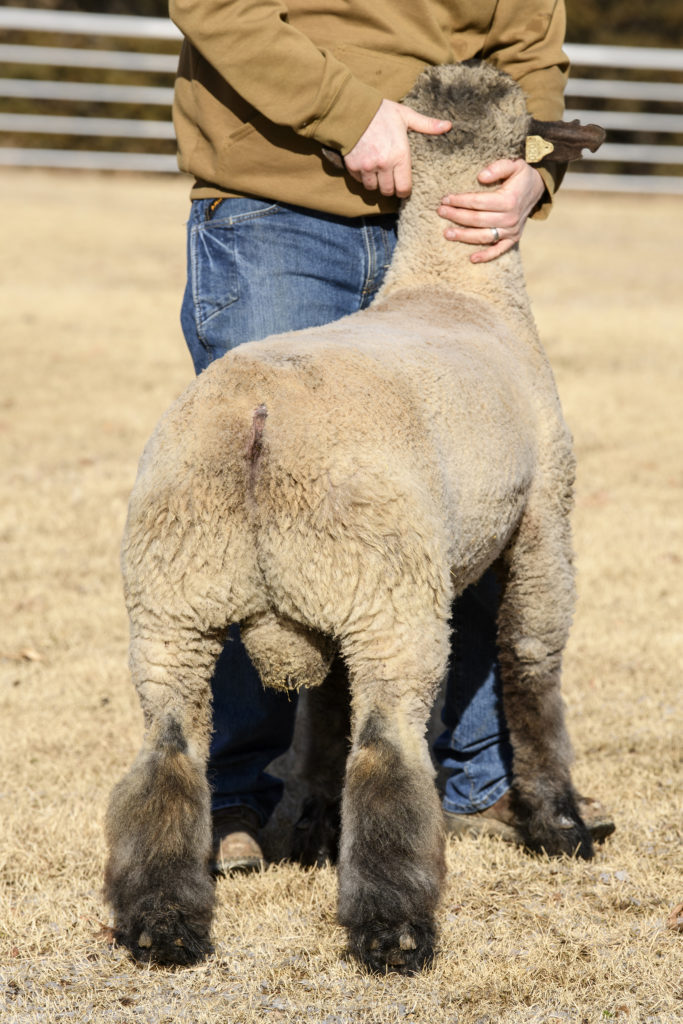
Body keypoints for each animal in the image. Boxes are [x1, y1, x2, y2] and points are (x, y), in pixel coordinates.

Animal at [104, 61, 605, 974]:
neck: (454, 284)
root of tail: (255, 427)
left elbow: (323, 712)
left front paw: (308, 831)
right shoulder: (543, 514)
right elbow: (529, 662)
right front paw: (560, 823)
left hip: (176, 597)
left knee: (168, 753)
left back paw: (164, 924)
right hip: (387, 596)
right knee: (385, 748)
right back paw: (394, 929)